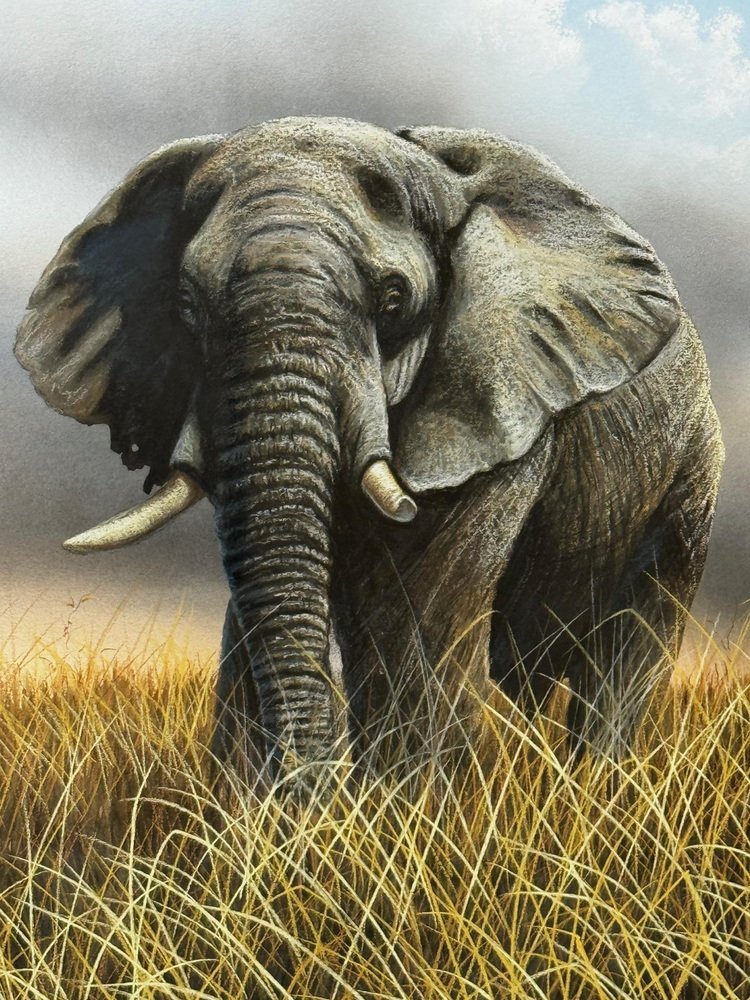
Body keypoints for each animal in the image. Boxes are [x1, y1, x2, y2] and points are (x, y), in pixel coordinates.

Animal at [15, 116, 723, 788]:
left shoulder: (501, 406)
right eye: (186, 304)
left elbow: (415, 625)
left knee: (631, 644)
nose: (309, 782)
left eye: (392, 299)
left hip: (691, 471)